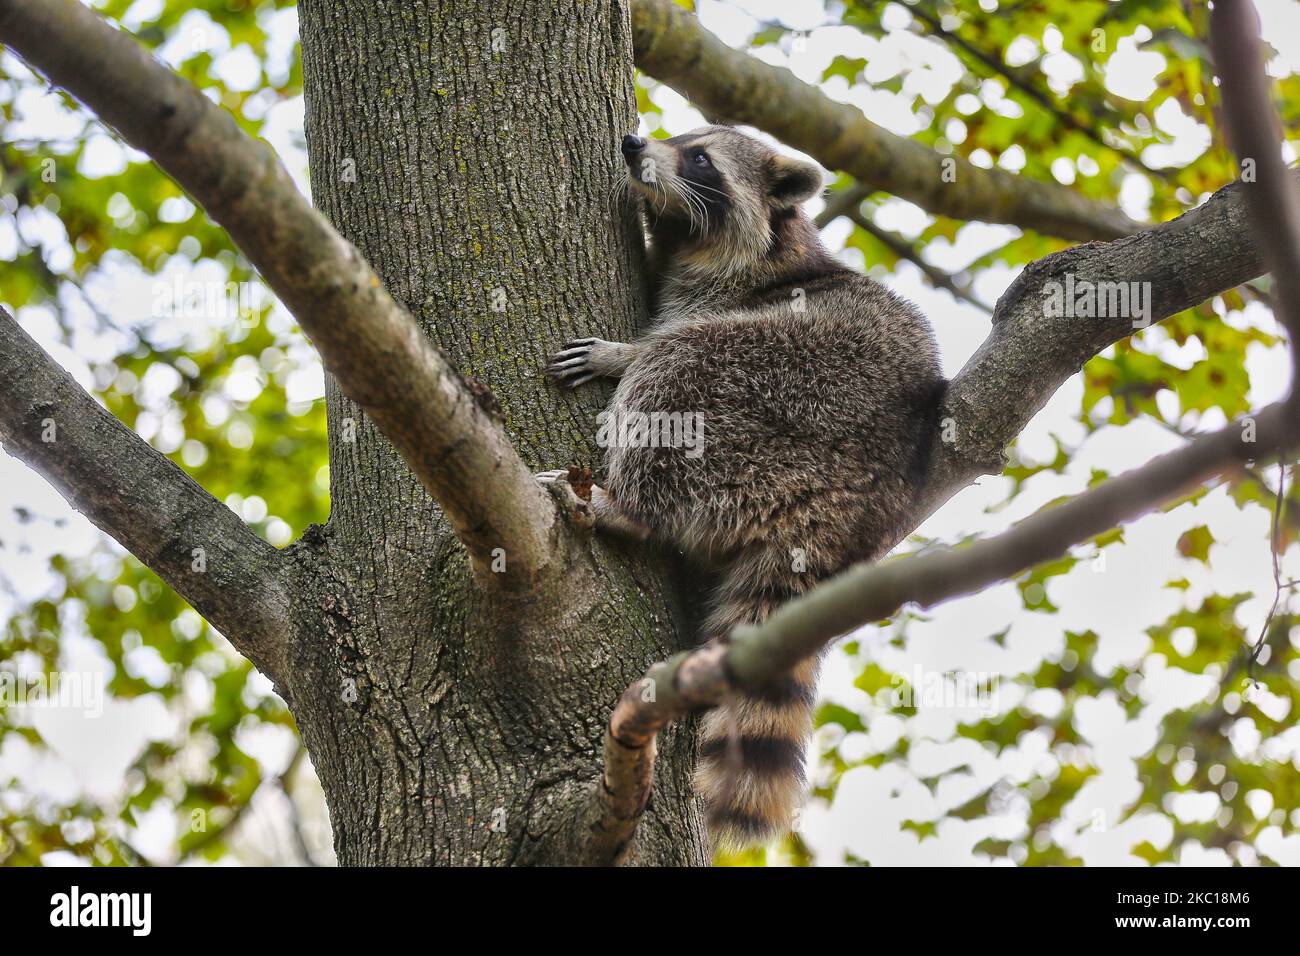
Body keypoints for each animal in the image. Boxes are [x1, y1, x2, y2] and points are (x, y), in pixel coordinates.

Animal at [541, 125, 946, 849]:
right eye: (681, 136)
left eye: (701, 158)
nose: (633, 142)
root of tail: (851, 502)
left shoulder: (733, 296)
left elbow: (669, 334)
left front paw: (621, 352)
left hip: (779, 391)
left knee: (677, 367)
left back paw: (626, 504)